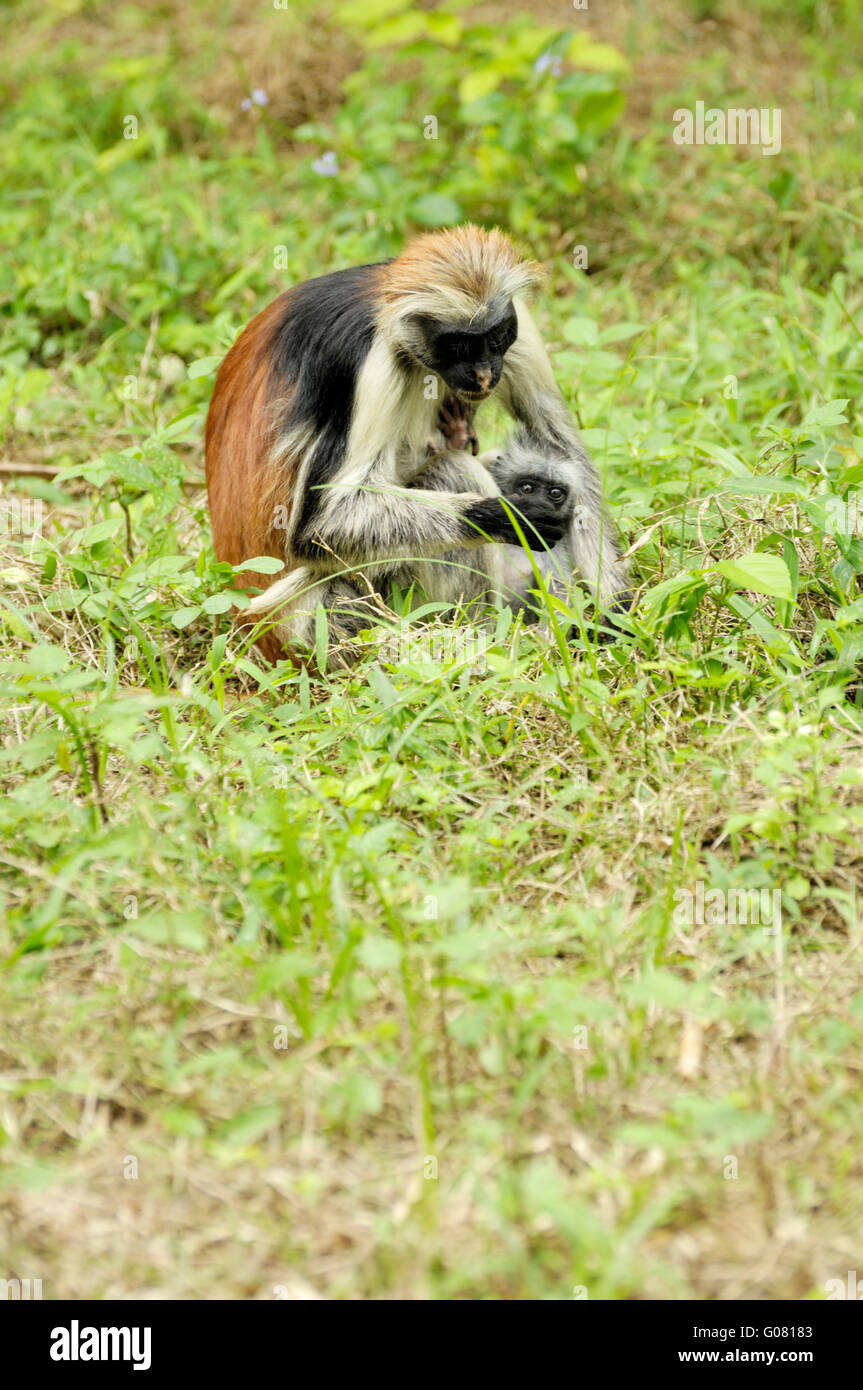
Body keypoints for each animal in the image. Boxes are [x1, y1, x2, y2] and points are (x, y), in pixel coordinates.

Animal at [205, 225, 630, 664]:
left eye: (496, 337)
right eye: (458, 345)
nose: (483, 374)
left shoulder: (515, 322)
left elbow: (564, 452)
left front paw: (614, 617)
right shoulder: (366, 358)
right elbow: (320, 527)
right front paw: (506, 516)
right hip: (333, 610)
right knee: (455, 470)